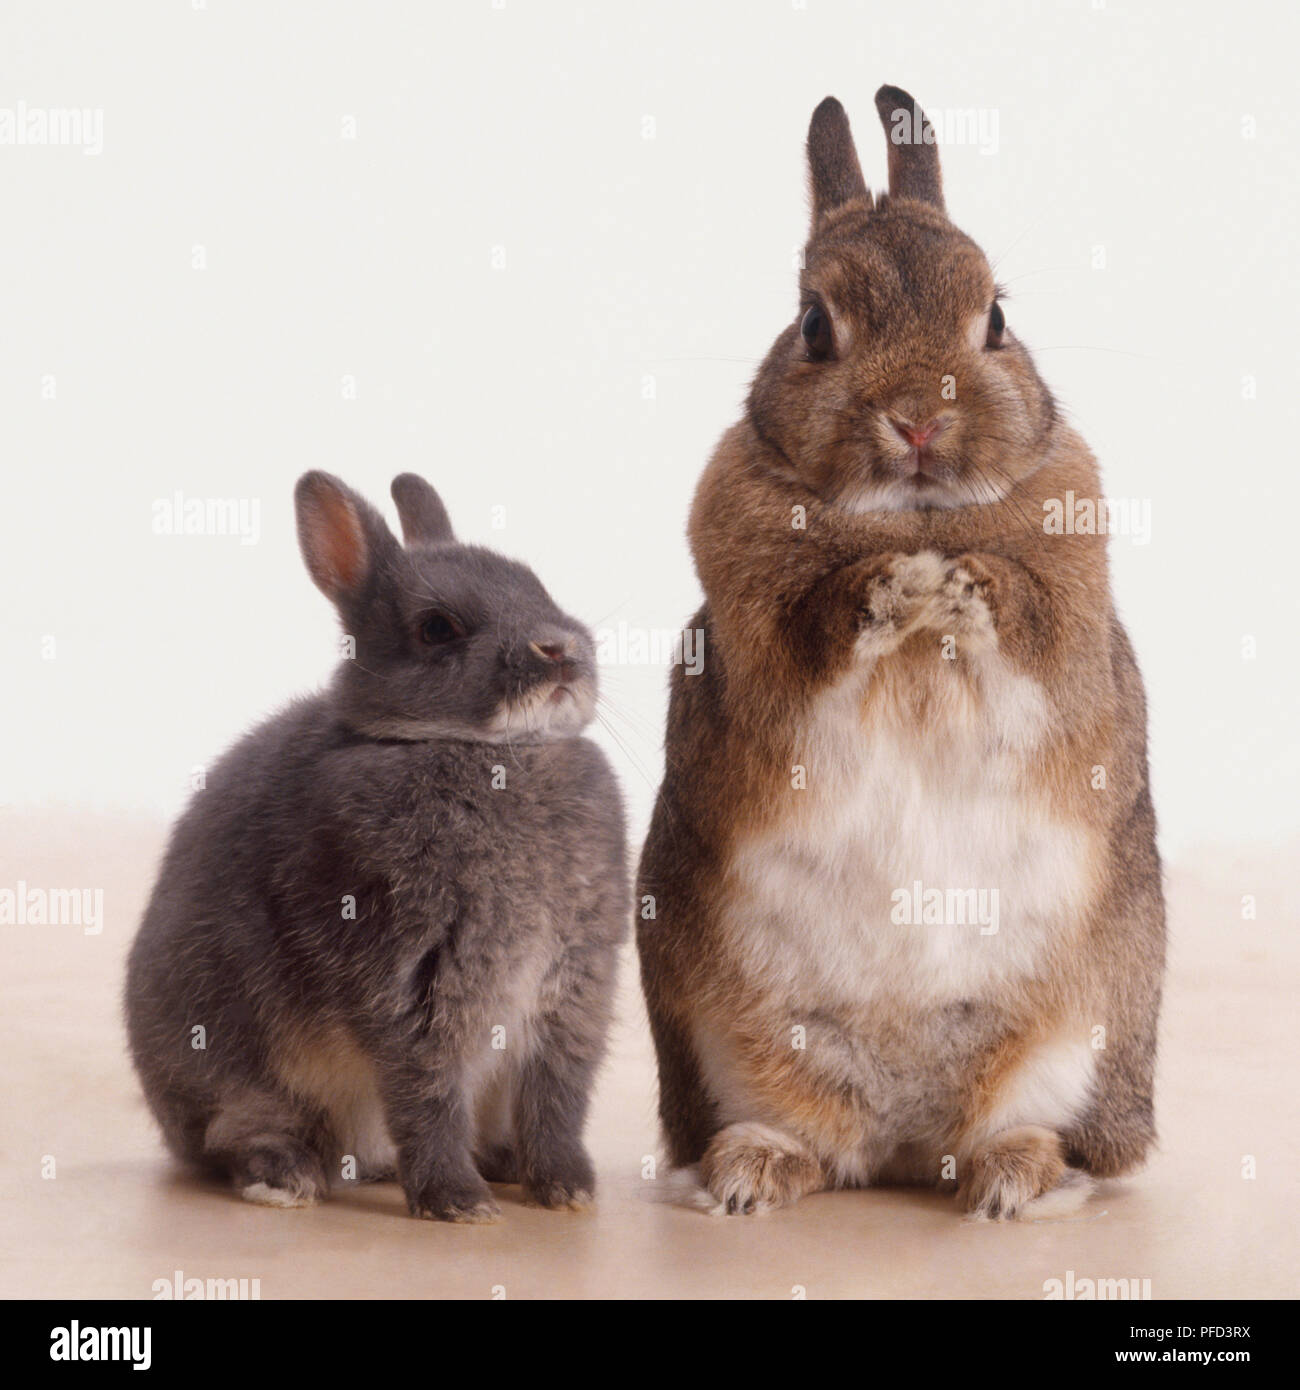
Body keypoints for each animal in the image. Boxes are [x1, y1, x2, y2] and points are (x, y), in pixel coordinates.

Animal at [125, 471, 628, 1222]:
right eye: (437, 628)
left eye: (535, 585)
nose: (559, 648)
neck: (488, 751)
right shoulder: (410, 981)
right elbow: (429, 1098)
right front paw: (458, 1204)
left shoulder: (572, 991)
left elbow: (557, 1098)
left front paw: (569, 1191)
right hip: (240, 1077)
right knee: (233, 1138)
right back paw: (287, 1181)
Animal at [637, 86, 1165, 1221]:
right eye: (814, 325)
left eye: (995, 318)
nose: (920, 419)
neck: (912, 513)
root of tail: (906, 1144)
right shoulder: (759, 657)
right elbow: (813, 641)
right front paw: (895, 590)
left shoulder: (1067, 648)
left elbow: (1026, 630)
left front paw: (959, 585)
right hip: (725, 1040)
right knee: (809, 1138)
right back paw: (749, 1173)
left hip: (1080, 1040)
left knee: (1036, 1132)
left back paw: (1013, 1182)